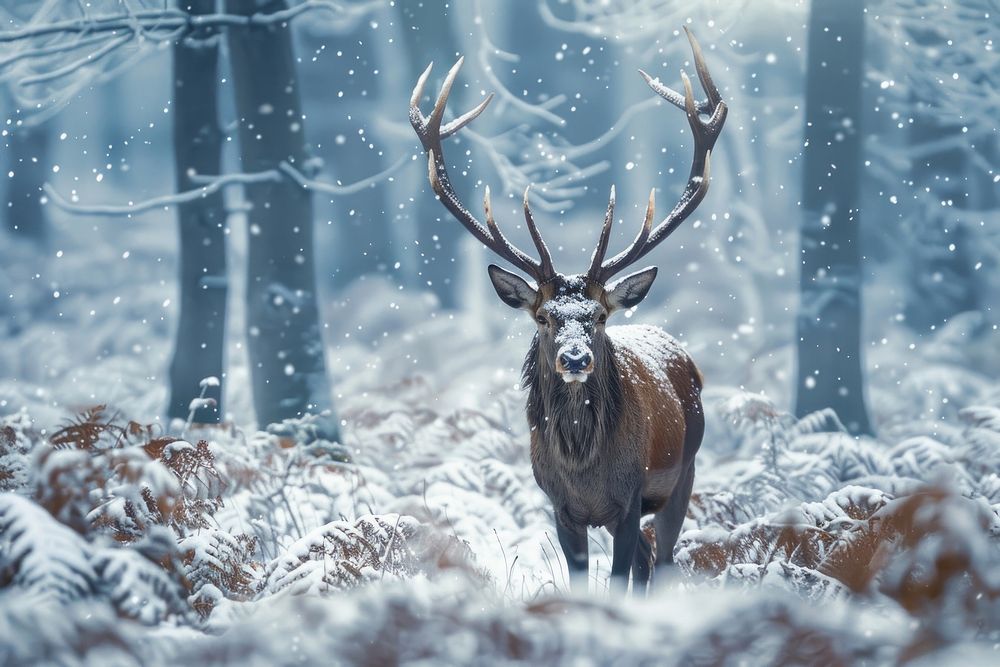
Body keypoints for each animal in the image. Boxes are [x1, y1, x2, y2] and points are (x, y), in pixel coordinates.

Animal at [409, 28, 727, 594]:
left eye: (599, 316)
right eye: (543, 317)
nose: (576, 359)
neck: (584, 474)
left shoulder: (629, 501)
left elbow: (620, 576)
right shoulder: (559, 508)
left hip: (684, 475)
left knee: (662, 559)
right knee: (650, 559)